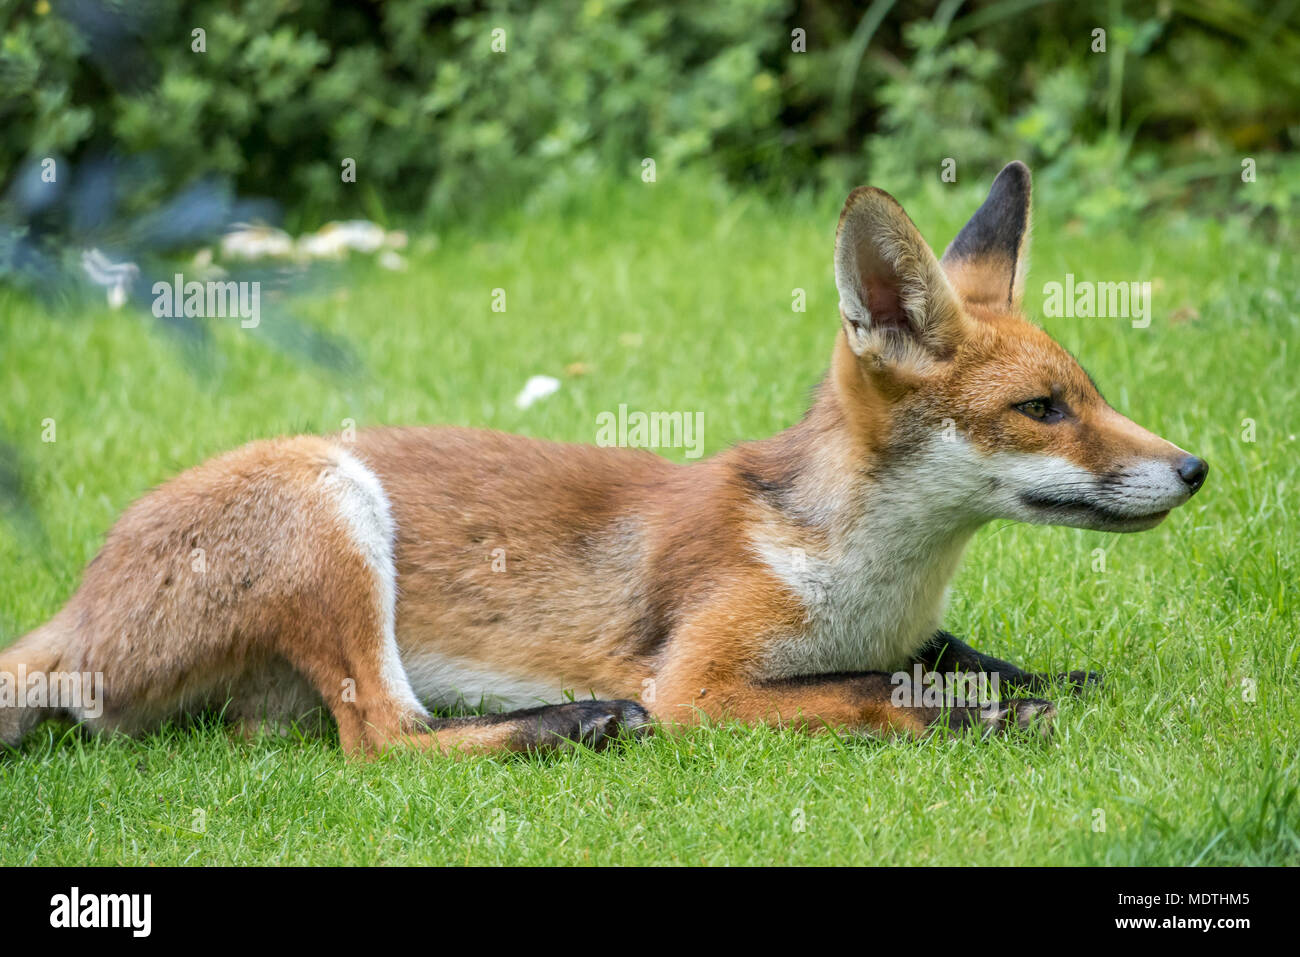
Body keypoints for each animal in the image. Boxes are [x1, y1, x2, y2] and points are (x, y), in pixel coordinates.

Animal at [0, 162, 1208, 758]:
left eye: (1094, 394)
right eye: (1042, 409)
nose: (1196, 467)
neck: (867, 576)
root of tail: (79, 603)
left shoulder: (913, 630)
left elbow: (969, 657)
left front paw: (1046, 682)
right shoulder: (698, 683)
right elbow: (867, 689)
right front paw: (973, 719)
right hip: (328, 506)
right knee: (383, 742)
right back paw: (570, 725)